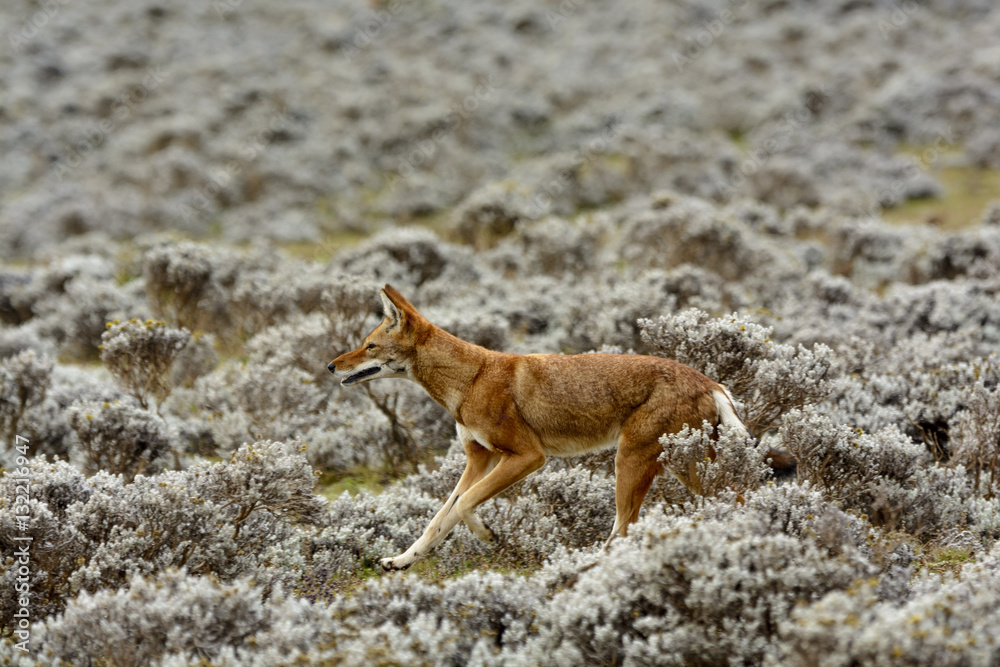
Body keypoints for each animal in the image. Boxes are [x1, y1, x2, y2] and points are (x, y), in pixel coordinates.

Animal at [329, 285, 752, 571]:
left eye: (368, 346)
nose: (332, 366)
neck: (470, 379)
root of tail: (710, 383)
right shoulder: (478, 460)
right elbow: (439, 518)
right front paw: (402, 560)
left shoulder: (528, 457)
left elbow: (464, 506)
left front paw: (488, 535)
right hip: (683, 467)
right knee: (733, 497)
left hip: (631, 463)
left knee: (622, 529)